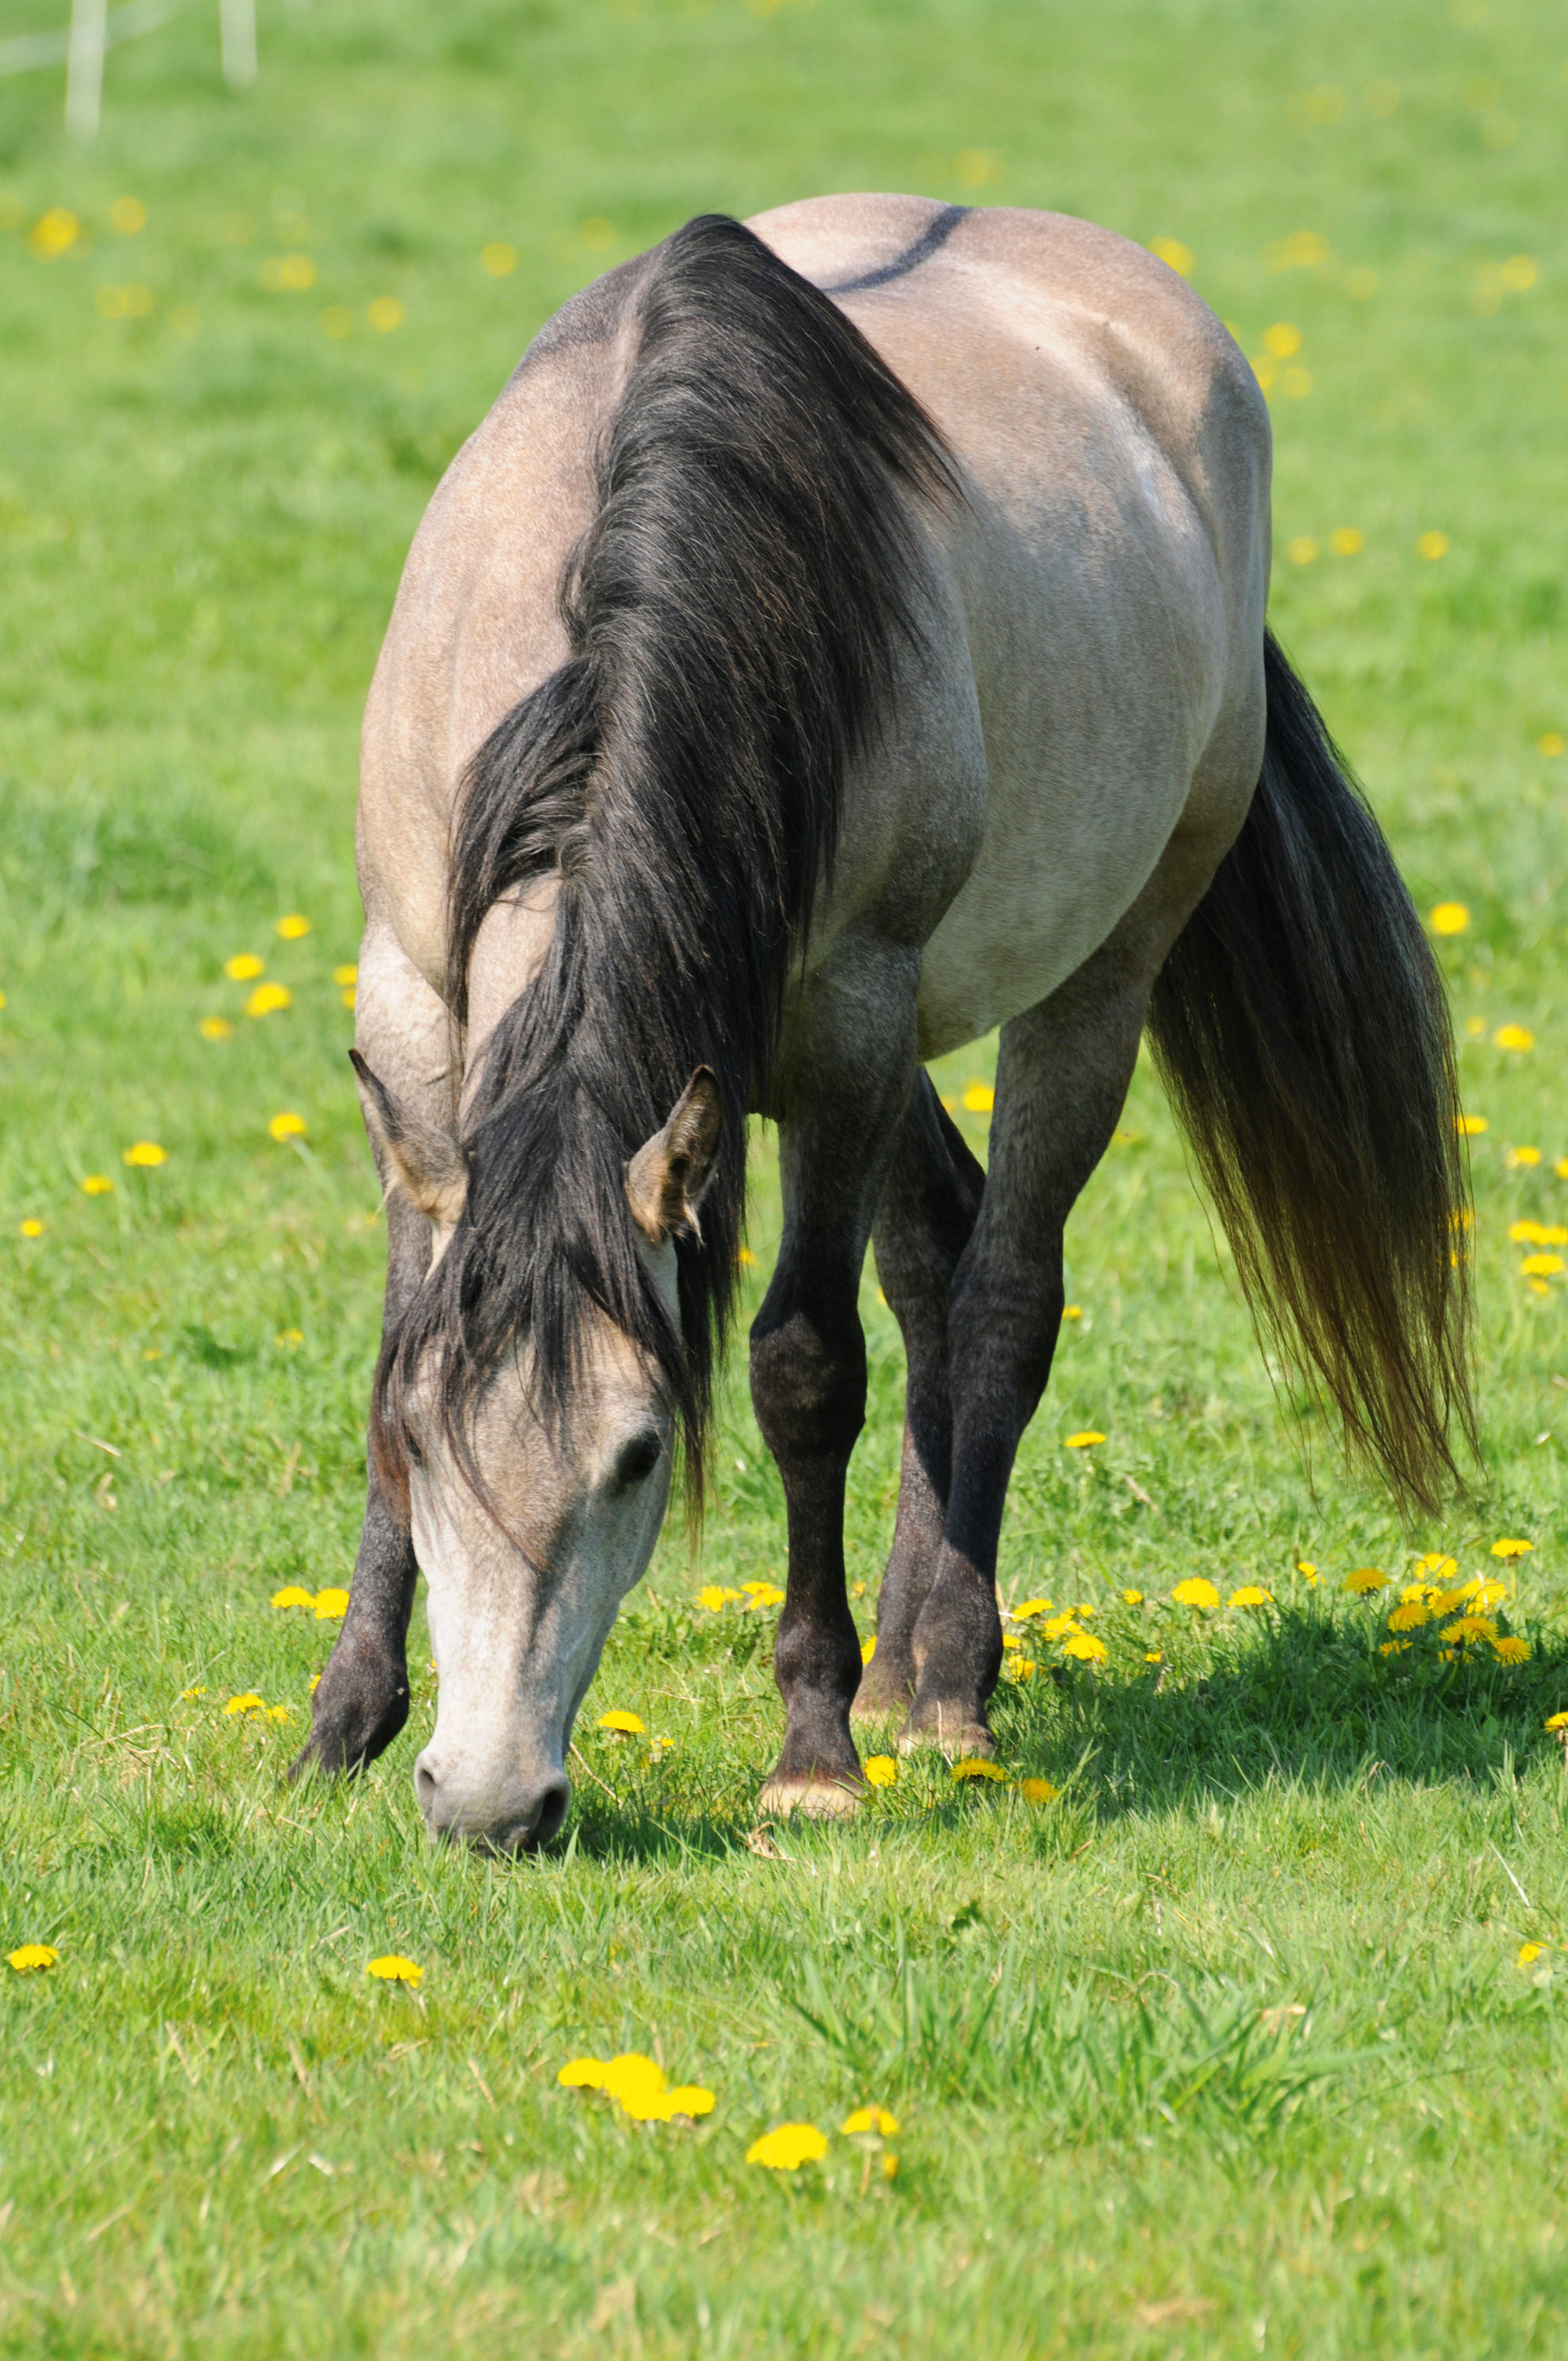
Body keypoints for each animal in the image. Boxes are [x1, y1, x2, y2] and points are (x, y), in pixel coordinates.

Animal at [292, 196, 1471, 1851]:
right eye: (427, 1435)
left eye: (639, 1455)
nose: (489, 1803)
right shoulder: (407, 999)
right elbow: (398, 1331)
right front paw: (340, 1719)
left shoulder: (846, 1024)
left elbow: (805, 1368)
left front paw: (812, 1748)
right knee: (938, 1252)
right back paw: (914, 1661)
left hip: (1089, 982)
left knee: (1004, 1290)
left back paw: (947, 1685)